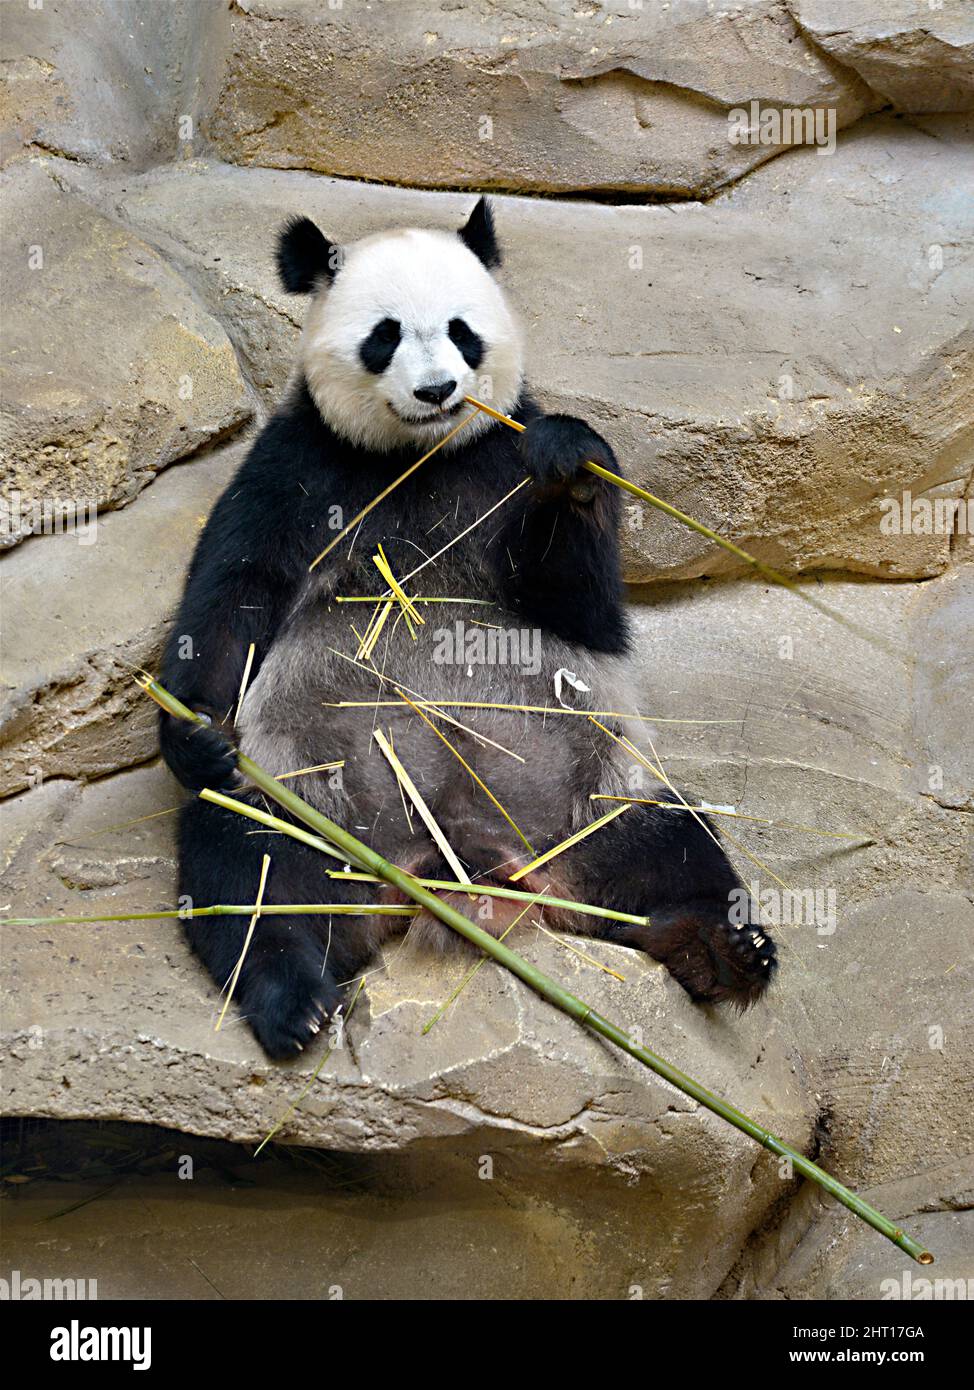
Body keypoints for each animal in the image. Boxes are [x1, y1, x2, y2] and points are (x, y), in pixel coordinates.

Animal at [160, 198, 776, 1059]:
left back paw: (723, 951)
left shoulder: (501, 454)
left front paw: (570, 466)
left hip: (585, 807)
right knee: (248, 869)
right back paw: (294, 1001)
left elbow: (583, 606)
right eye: (384, 335)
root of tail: (456, 870)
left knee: (673, 845)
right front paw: (194, 732)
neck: (420, 458)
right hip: (310, 808)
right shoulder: (298, 465)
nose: (438, 389)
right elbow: (234, 593)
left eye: (462, 330)